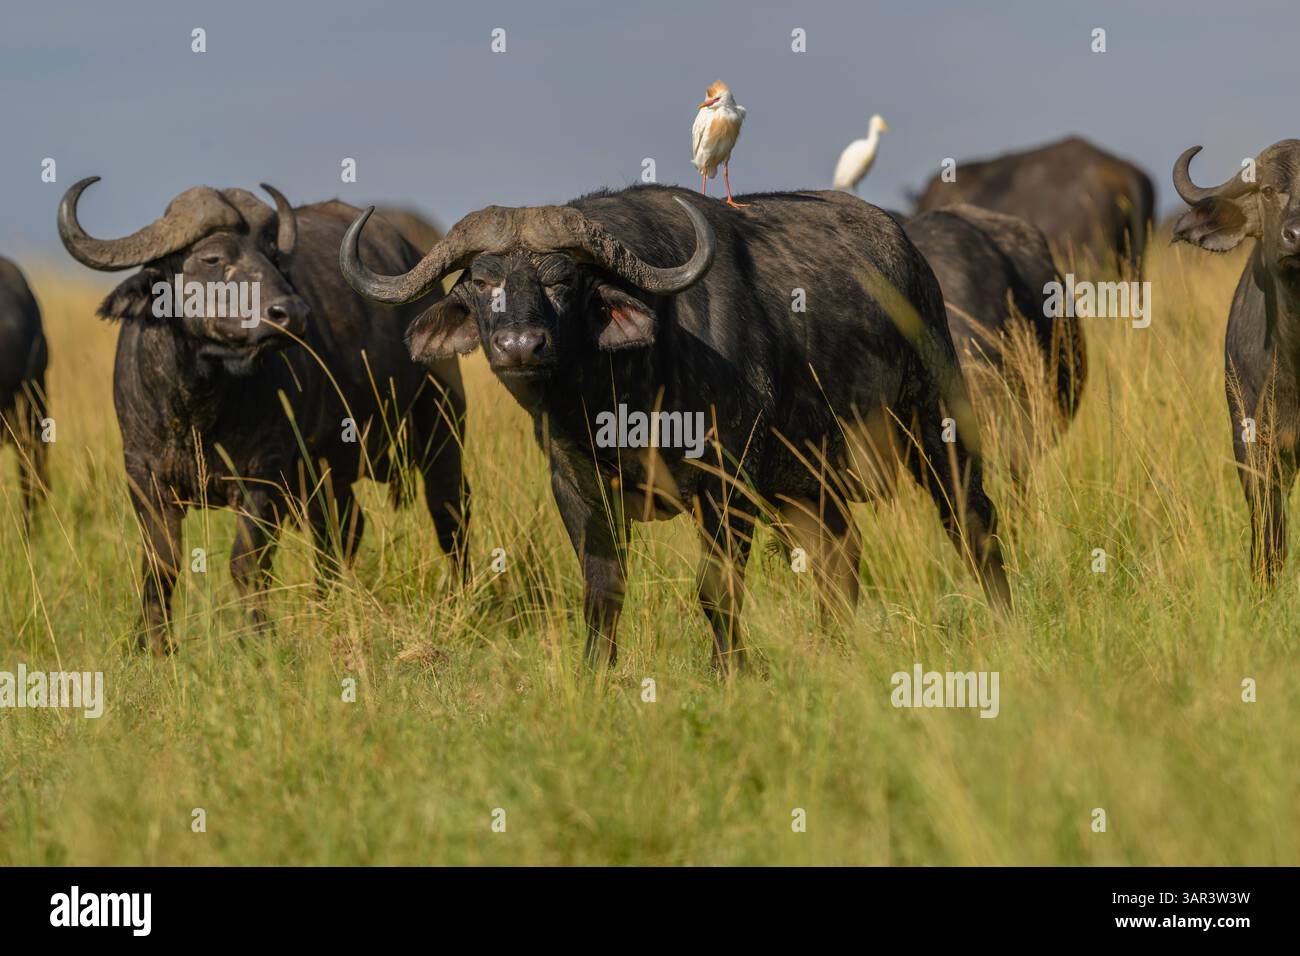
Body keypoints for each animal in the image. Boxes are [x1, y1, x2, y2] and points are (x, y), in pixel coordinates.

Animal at [58, 178, 469, 649]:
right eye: (213, 258)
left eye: (270, 254)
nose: (291, 314)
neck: (198, 408)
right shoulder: (144, 475)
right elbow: (161, 562)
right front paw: (154, 643)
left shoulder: (262, 475)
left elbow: (247, 561)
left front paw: (255, 637)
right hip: (327, 472)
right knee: (343, 530)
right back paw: (322, 606)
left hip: (441, 424)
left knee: (449, 514)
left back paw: (459, 601)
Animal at [341, 185, 1011, 672]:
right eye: (482, 283)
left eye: (562, 280)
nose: (519, 346)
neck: (616, 395)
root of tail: (908, 256)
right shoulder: (574, 481)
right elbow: (603, 586)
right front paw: (596, 672)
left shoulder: (726, 477)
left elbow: (716, 587)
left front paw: (729, 671)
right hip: (804, 482)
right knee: (838, 551)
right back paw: (834, 648)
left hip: (936, 421)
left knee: (971, 520)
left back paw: (1005, 621)